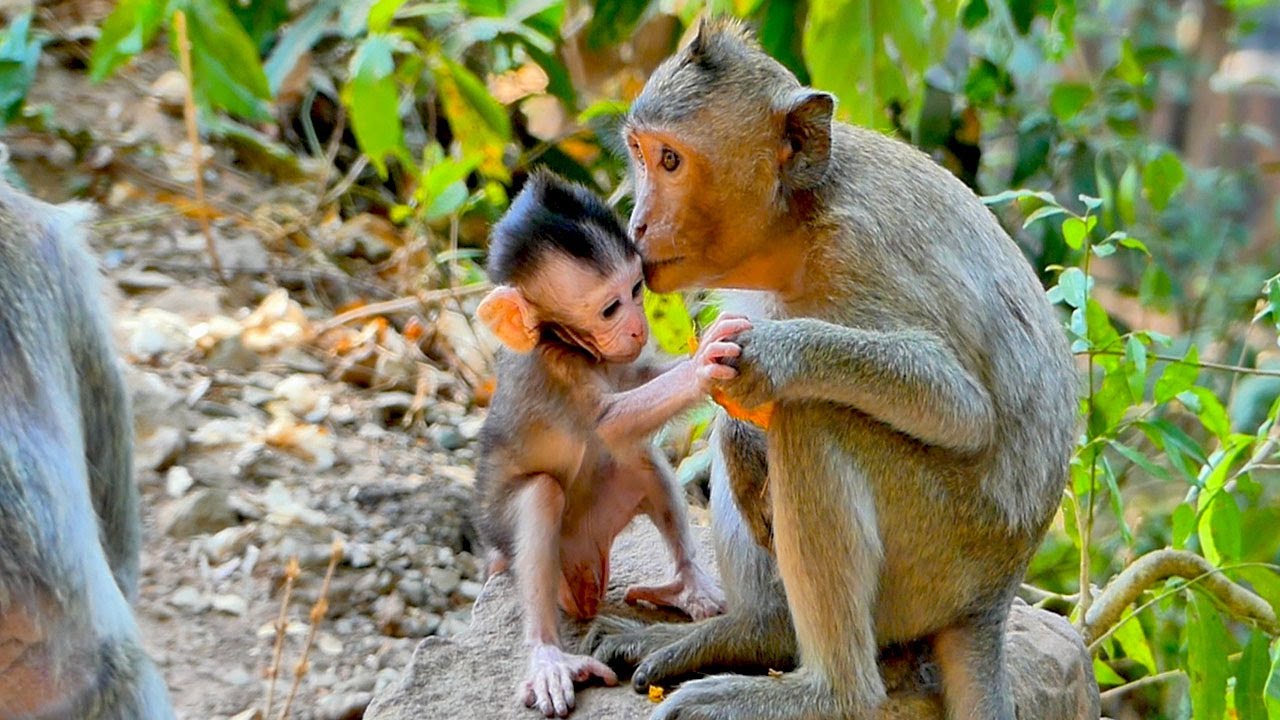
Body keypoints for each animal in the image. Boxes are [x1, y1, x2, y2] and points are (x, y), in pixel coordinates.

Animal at [472, 169, 747, 718]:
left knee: (639, 458)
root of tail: (586, 578)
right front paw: (704, 363)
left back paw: (687, 587)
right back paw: (548, 656)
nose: (638, 327)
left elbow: (640, 384)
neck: (563, 341)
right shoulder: (552, 369)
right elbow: (609, 422)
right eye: (609, 308)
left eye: (637, 289)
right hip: (532, 554)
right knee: (542, 493)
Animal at [585, 19, 1079, 720]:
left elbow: (960, 405)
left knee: (815, 418)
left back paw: (825, 693)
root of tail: (994, 599)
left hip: (941, 556)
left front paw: (775, 357)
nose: (638, 223)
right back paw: (753, 632)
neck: (798, 222)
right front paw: (738, 433)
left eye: (671, 160)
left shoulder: (860, 249)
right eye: (639, 151)